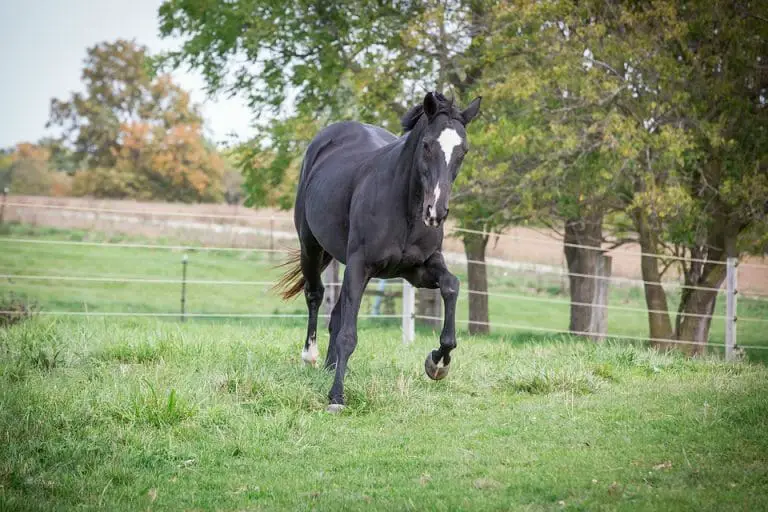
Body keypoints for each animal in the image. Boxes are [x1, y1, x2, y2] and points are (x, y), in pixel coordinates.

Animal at [275, 92, 481, 413]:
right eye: (427, 145)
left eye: (463, 150)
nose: (436, 212)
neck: (404, 208)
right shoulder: (360, 265)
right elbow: (349, 335)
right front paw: (337, 397)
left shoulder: (418, 269)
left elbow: (451, 285)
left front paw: (437, 363)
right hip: (311, 246)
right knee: (315, 294)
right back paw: (310, 356)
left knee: (336, 312)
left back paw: (330, 366)